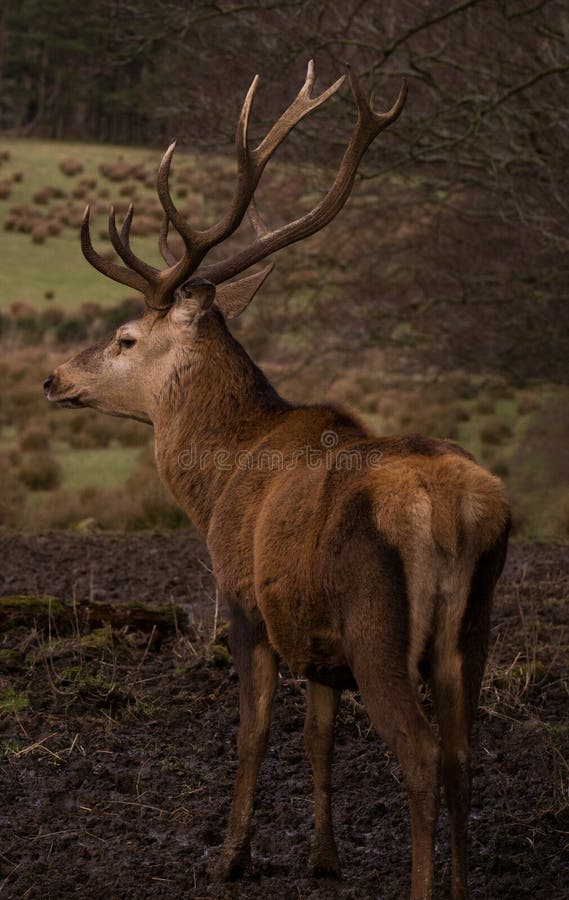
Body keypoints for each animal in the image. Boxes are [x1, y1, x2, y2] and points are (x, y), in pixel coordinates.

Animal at [44, 62, 510, 900]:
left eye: (125, 338)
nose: (53, 377)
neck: (218, 479)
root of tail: (456, 512)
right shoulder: (312, 632)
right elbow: (320, 738)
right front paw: (322, 858)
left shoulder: (243, 598)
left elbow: (254, 733)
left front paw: (230, 856)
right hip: (474, 623)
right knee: (463, 752)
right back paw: (460, 885)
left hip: (376, 618)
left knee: (421, 750)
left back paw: (423, 886)